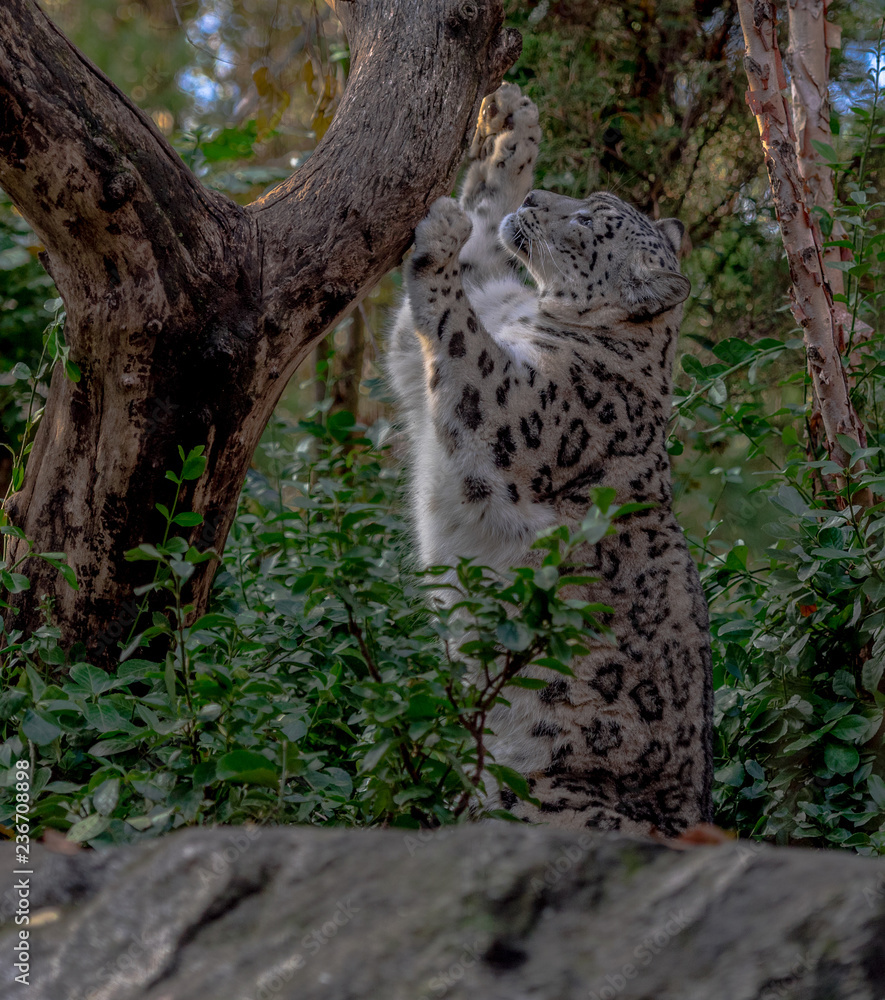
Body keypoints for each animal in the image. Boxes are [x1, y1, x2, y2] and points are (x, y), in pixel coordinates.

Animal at [386, 84, 713, 837]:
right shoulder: (460, 332)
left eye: (590, 224)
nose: (536, 202)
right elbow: (469, 271)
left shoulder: (509, 409)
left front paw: (443, 231)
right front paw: (513, 136)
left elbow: (457, 330)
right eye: (590, 197)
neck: (530, 313)